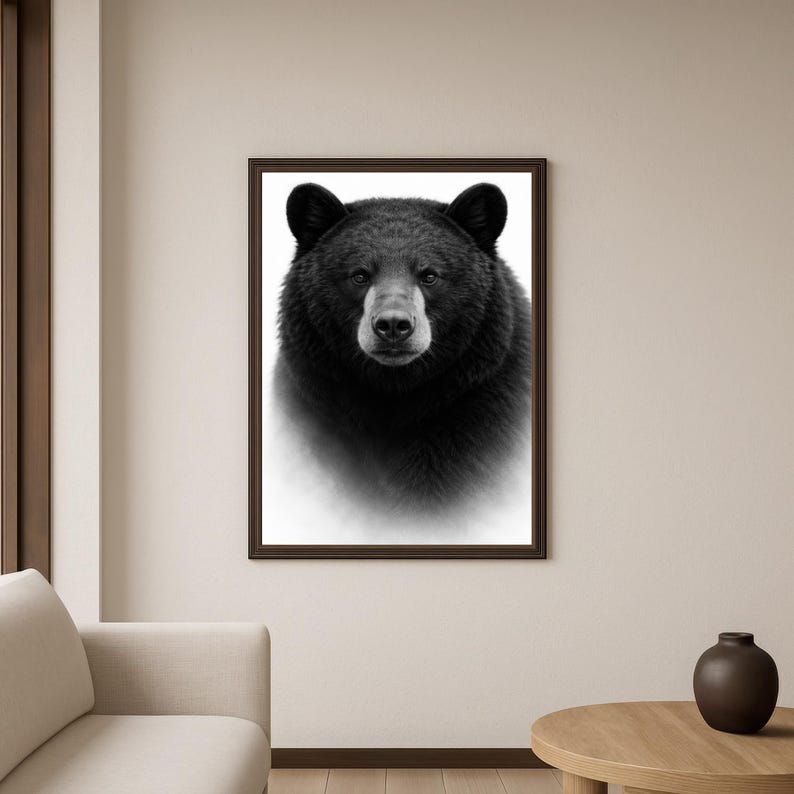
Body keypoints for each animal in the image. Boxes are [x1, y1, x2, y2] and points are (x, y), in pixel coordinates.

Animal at [274, 180, 532, 511]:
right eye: (359, 275)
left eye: (430, 275)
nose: (393, 325)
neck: (395, 393)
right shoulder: (313, 402)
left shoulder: (484, 407)